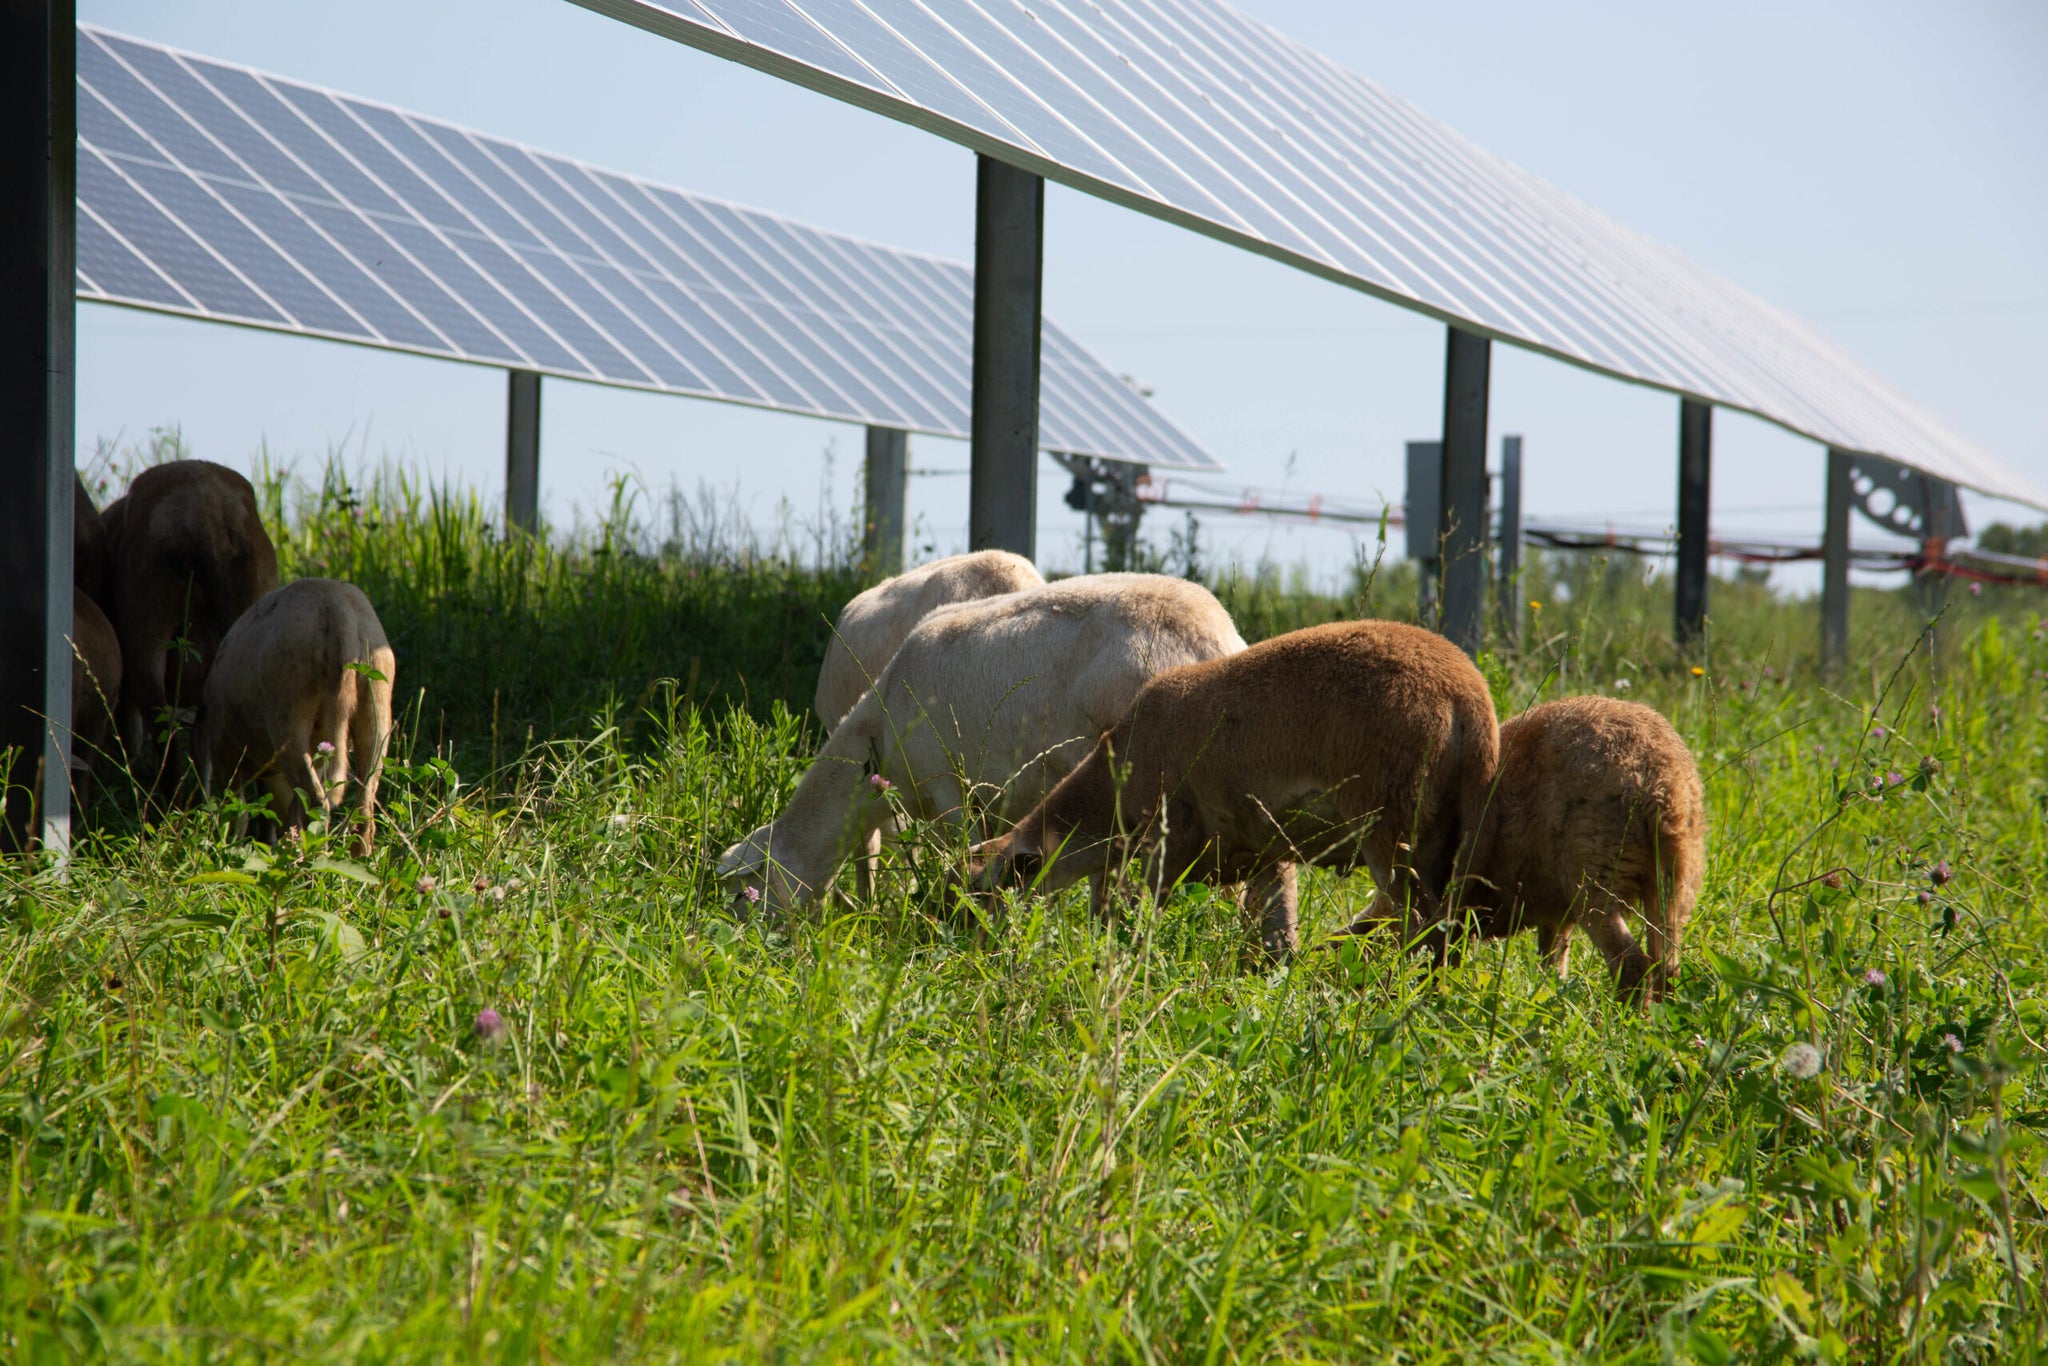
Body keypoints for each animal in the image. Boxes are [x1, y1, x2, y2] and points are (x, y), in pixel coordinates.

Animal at [194, 578, 396, 857]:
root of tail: (338, 610)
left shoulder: (224, 748)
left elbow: (236, 811)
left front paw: (228, 847)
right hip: (376, 705)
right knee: (364, 807)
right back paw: (358, 860)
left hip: (288, 713)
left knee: (317, 801)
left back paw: (309, 858)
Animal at [721, 573, 1247, 914]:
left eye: (742, 894)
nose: (743, 948)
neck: (880, 733)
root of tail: (1215, 638)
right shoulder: (1001, 799)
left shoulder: (949, 786)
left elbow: (958, 857)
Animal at [967, 620, 1500, 965]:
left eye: (982, 889)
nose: (968, 953)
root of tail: (1468, 703)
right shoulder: (1265, 849)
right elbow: (1276, 934)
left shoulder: (1169, 835)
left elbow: (1145, 913)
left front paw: (1129, 963)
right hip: (1443, 833)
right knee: (1448, 924)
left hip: (1390, 818)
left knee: (1426, 927)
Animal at [1345, 695, 1705, 1003]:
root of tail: (1660, 784)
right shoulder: (1556, 912)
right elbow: (1553, 960)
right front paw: (1550, 1000)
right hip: (1676, 876)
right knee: (1667, 964)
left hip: (1594, 869)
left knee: (1633, 962)